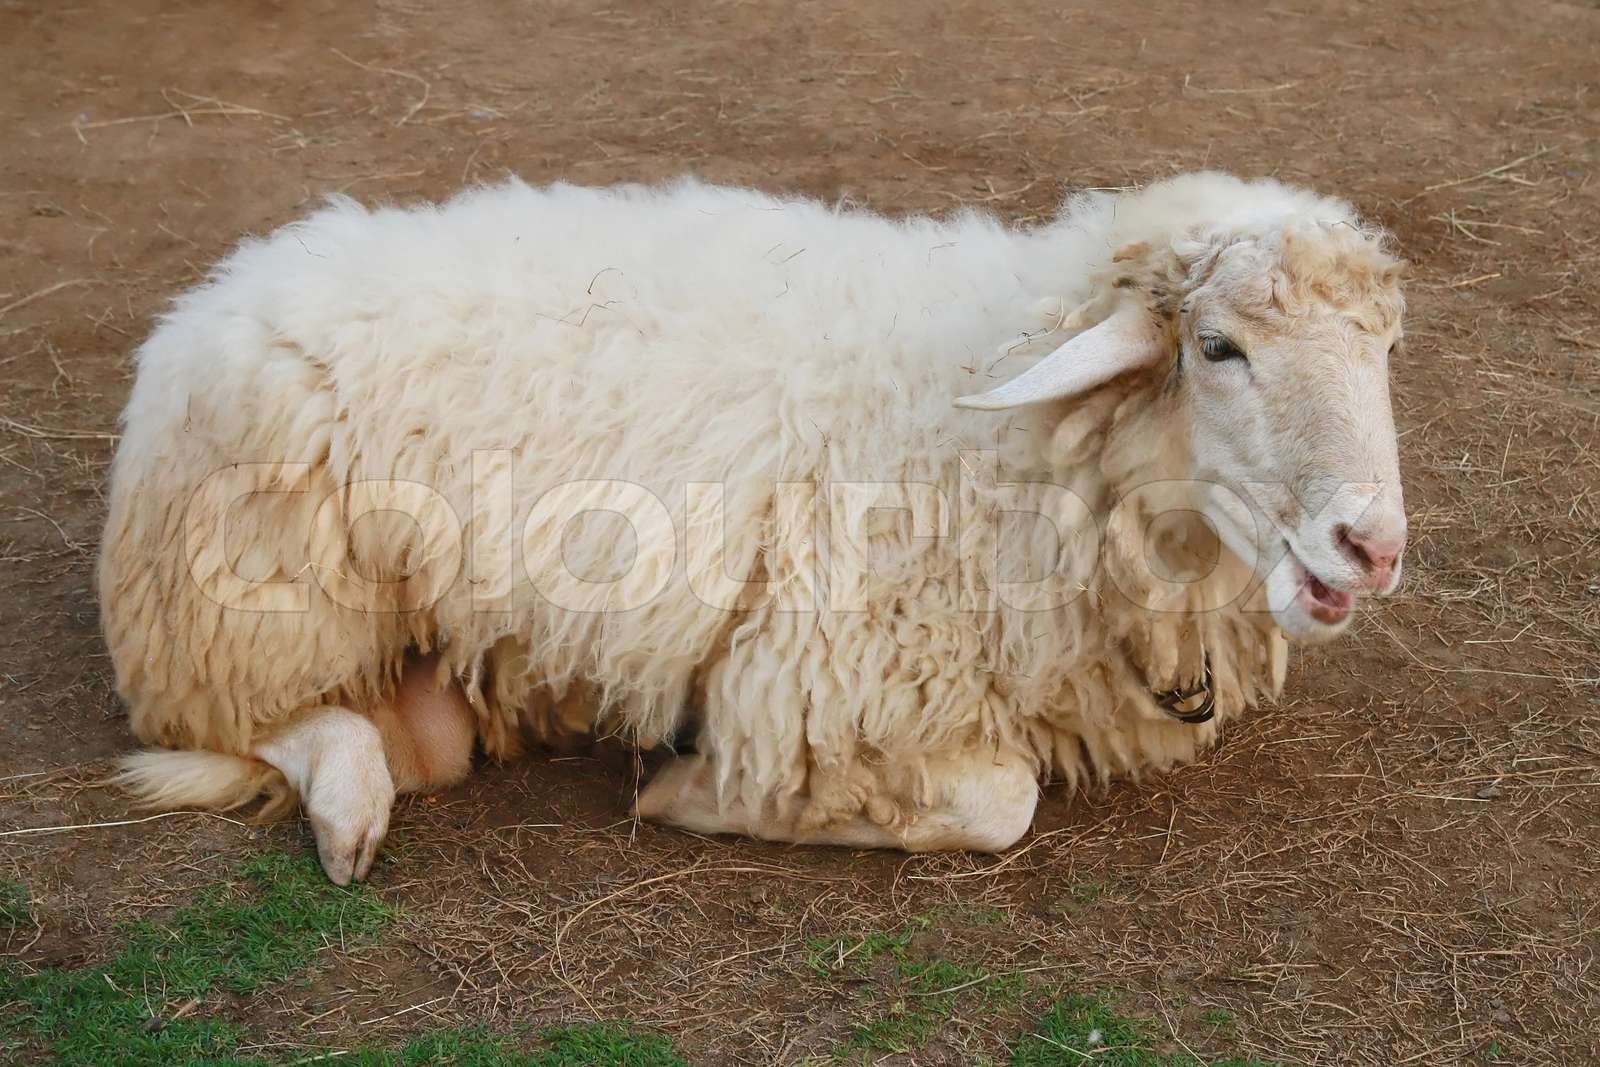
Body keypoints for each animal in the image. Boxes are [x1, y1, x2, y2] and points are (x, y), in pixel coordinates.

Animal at [101, 171, 1408, 883]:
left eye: (1384, 349)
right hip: (249, 591)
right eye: (1217, 347)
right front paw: (699, 793)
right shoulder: (824, 668)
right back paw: (344, 802)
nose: (1371, 545)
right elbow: (998, 805)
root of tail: (218, 290)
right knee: (241, 719)